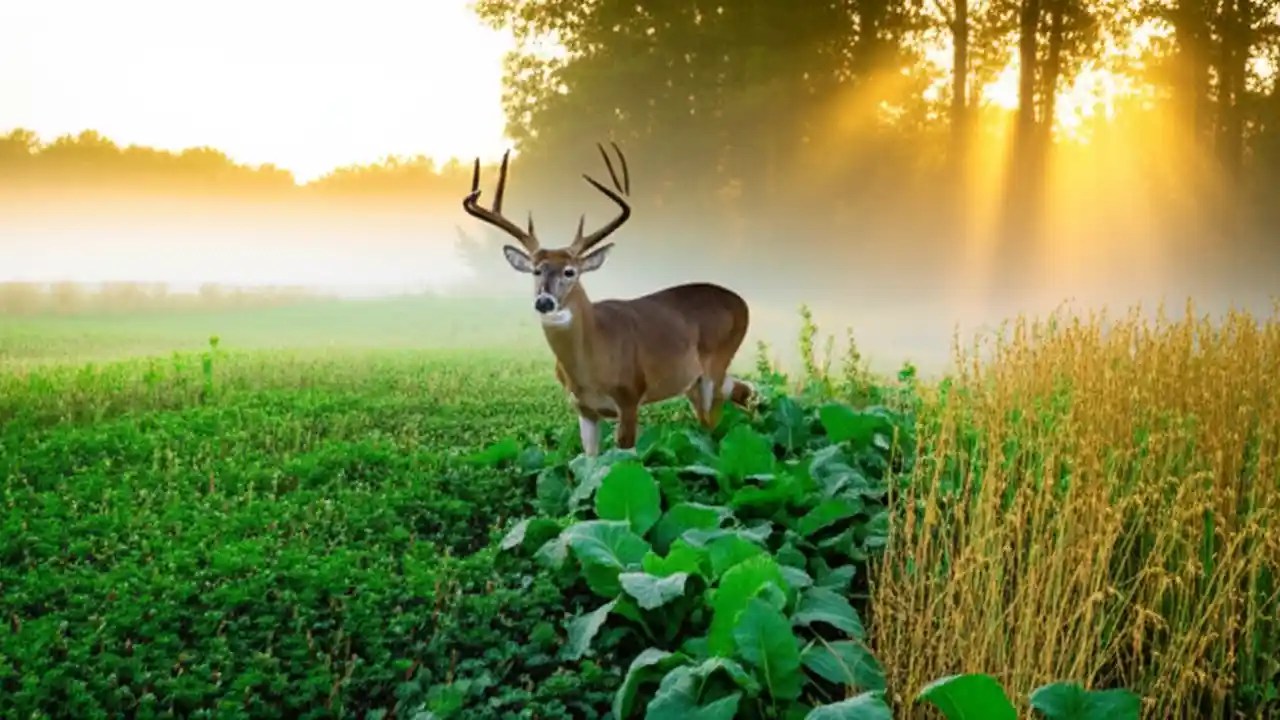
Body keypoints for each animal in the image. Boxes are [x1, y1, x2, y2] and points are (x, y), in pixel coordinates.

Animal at [461, 142, 755, 457]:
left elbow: (624, 460)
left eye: (570, 271)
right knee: (742, 393)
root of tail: (741, 302)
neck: (591, 367)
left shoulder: (630, 396)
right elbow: (590, 459)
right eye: (536, 270)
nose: (545, 302)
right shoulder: (583, 409)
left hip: (716, 364)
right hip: (693, 379)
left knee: (713, 422)